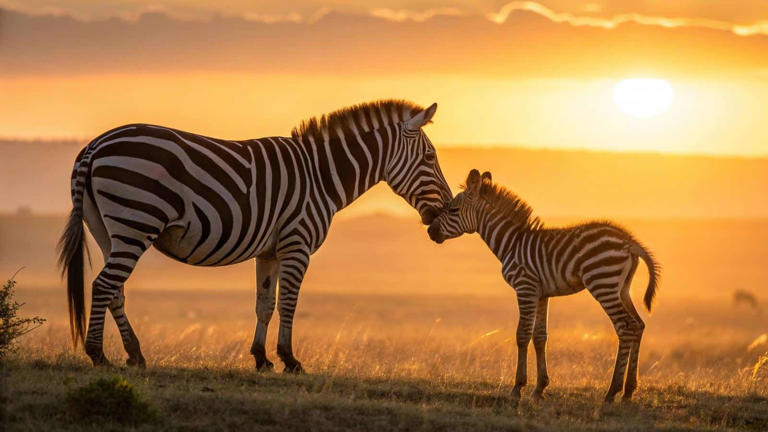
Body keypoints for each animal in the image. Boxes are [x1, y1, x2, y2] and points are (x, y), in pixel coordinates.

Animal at [58, 99, 452, 372]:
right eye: (430, 158)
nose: (445, 212)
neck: (321, 175)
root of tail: (94, 146)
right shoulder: (297, 243)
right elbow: (289, 303)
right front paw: (290, 359)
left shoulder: (270, 251)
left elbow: (265, 304)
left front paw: (261, 358)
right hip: (136, 220)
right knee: (104, 285)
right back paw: (98, 355)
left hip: (107, 228)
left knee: (115, 289)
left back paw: (135, 354)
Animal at [427, 169, 660, 403]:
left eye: (453, 209)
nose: (430, 231)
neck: (511, 242)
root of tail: (629, 242)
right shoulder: (541, 294)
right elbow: (540, 337)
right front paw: (539, 388)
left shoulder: (525, 287)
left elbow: (522, 335)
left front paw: (518, 387)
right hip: (621, 288)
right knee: (638, 325)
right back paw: (628, 391)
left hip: (602, 284)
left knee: (624, 327)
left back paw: (612, 391)